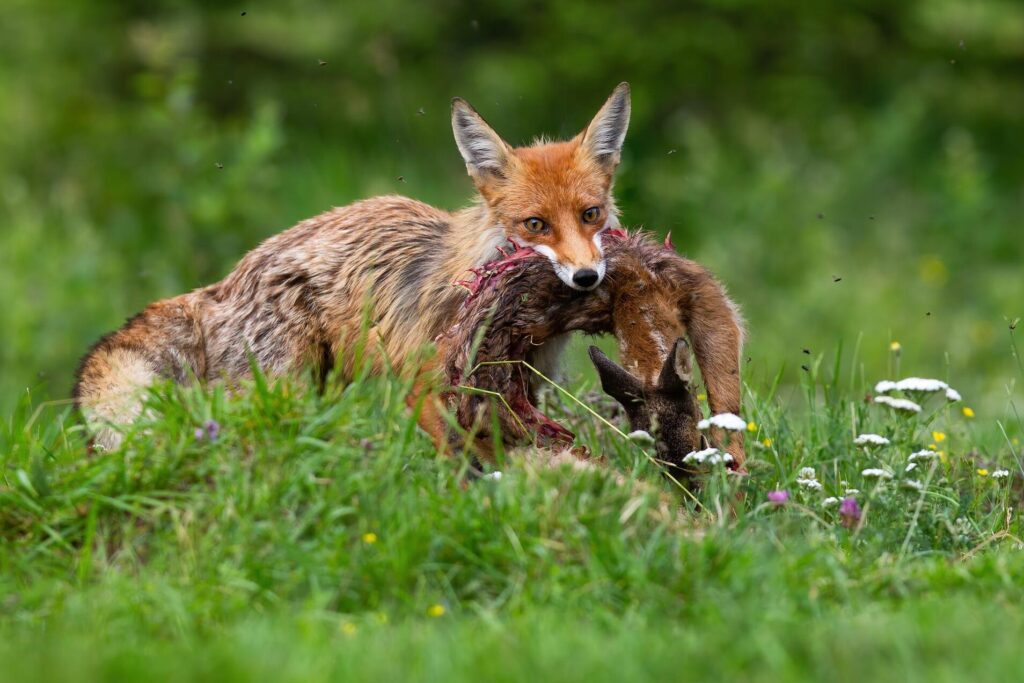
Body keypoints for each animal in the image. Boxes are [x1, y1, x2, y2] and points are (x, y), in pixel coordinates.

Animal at [75, 84, 634, 450]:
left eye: (590, 215)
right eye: (536, 225)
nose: (587, 277)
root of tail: (225, 282)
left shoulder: (519, 388)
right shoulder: (425, 384)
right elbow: (462, 460)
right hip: (285, 386)